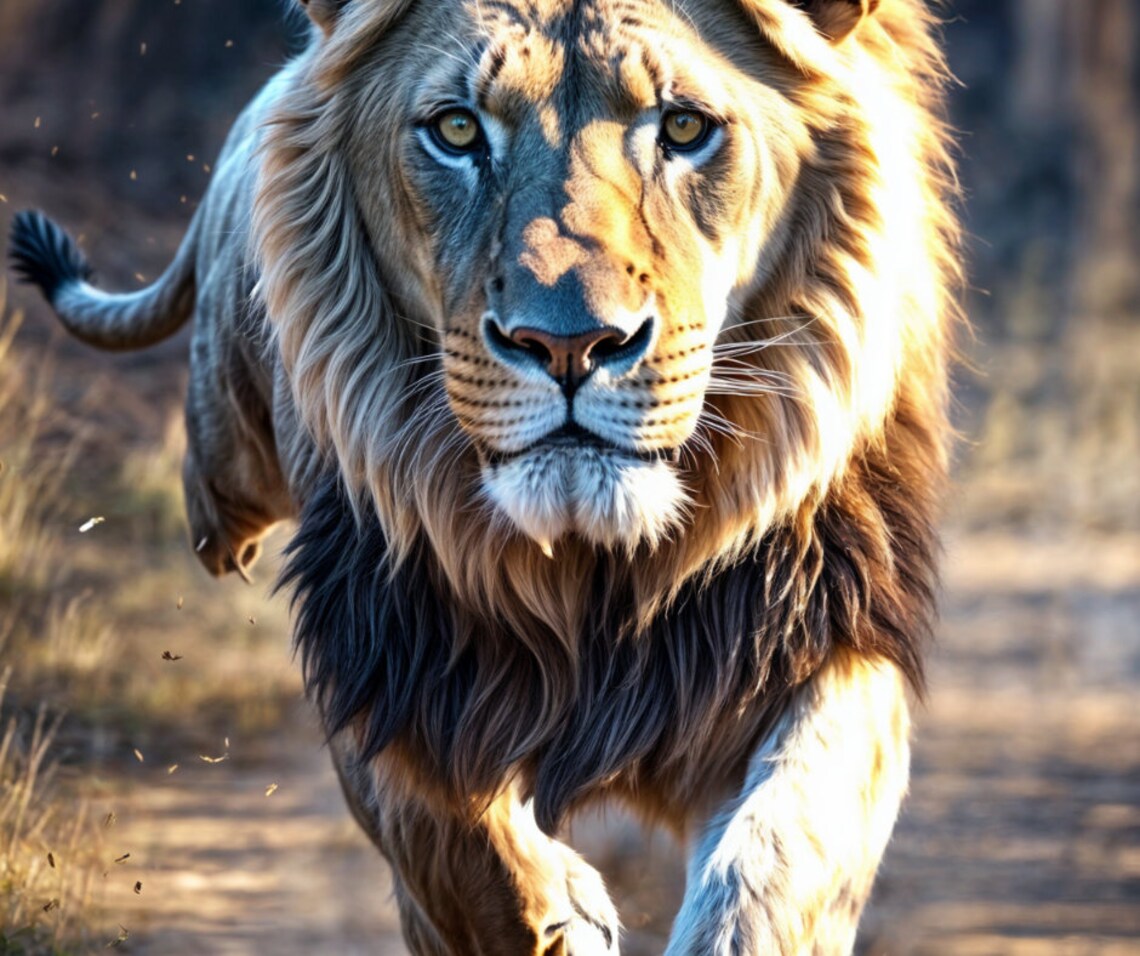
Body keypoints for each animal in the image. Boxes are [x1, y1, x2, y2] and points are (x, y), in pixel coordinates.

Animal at [9, 0, 961, 951]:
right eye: (458, 130)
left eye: (685, 129)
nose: (570, 344)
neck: (593, 565)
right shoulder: (382, 665)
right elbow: (466, 842)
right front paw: (566, 912)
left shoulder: (818, 638)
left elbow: (782, 850)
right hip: (224, 454)